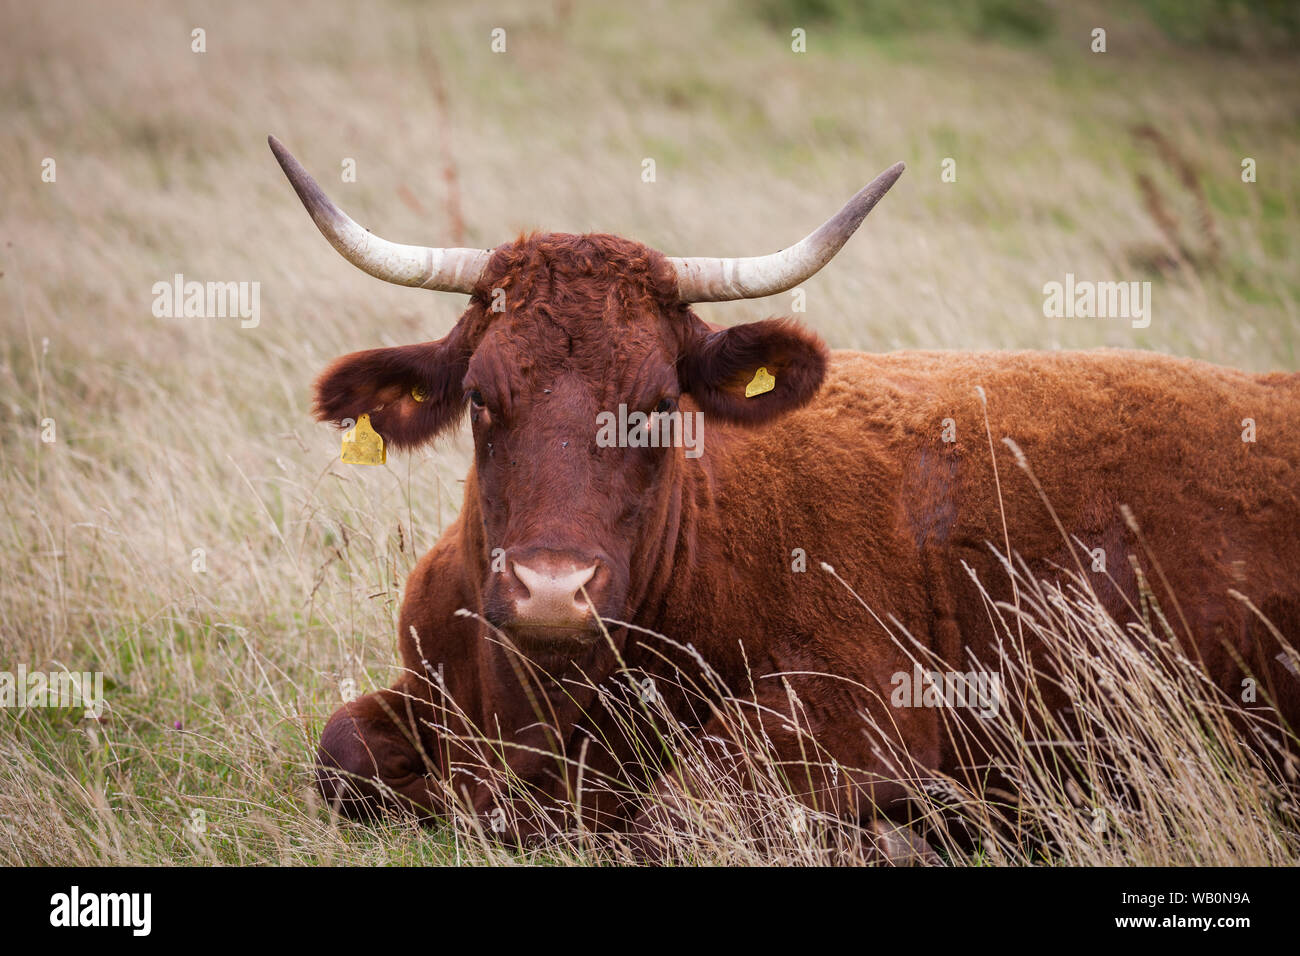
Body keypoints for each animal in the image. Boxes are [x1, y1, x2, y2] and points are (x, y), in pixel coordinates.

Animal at [269, 136, 1300, 853]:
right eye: (482, 396)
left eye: (659, 405)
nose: (553, 589)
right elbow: (342, 750)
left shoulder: (857, 714)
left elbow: (683, 814)